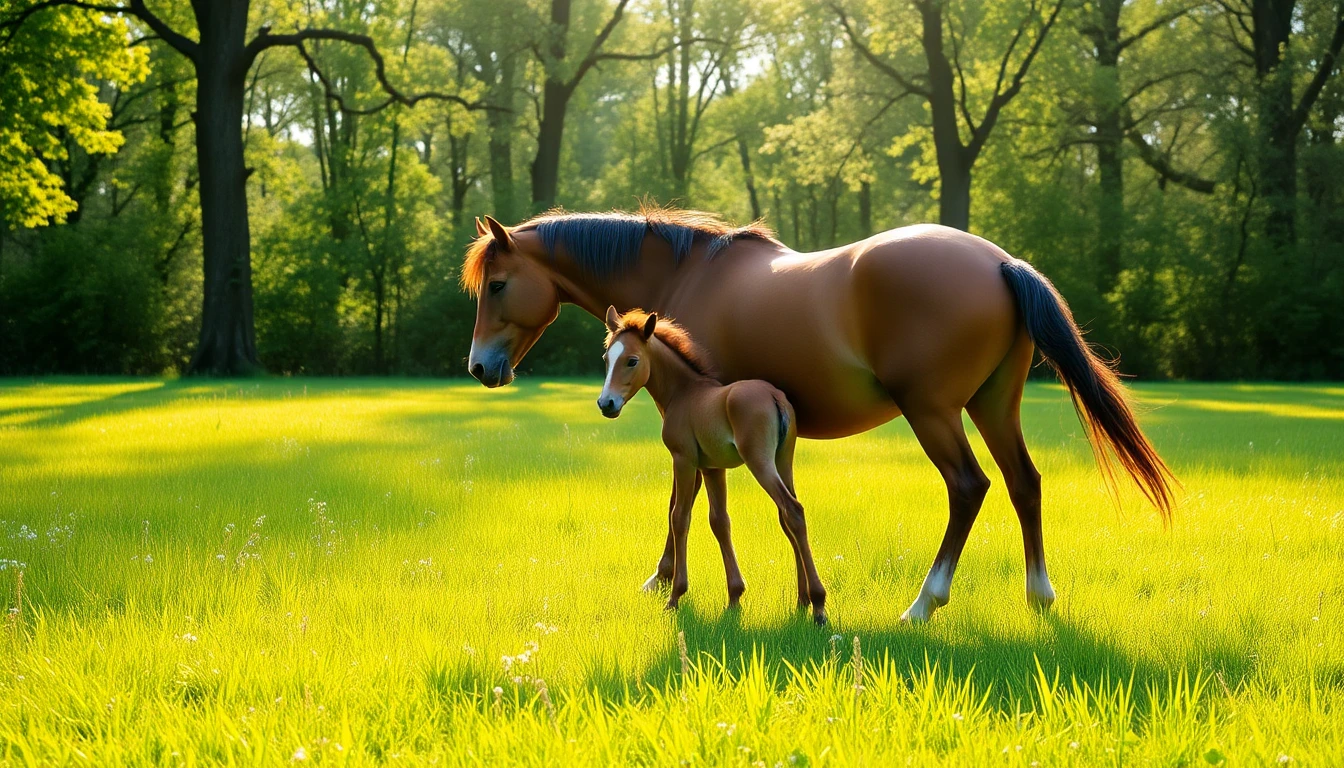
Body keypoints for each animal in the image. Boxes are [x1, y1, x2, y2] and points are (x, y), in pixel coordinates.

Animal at [597, 306, 827, 624]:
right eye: (607, 359)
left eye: (632, 360)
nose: (606, 403)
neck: (683, 392)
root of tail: (774, 396)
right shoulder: (712, 468)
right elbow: (720, 522)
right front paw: (734, 598)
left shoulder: (683, 460)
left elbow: (679, 518)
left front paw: (675, 597)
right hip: (783, 461)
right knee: (788, 517)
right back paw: (803, 600)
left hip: (760, 462)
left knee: (793, 510)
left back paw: (818, 605)